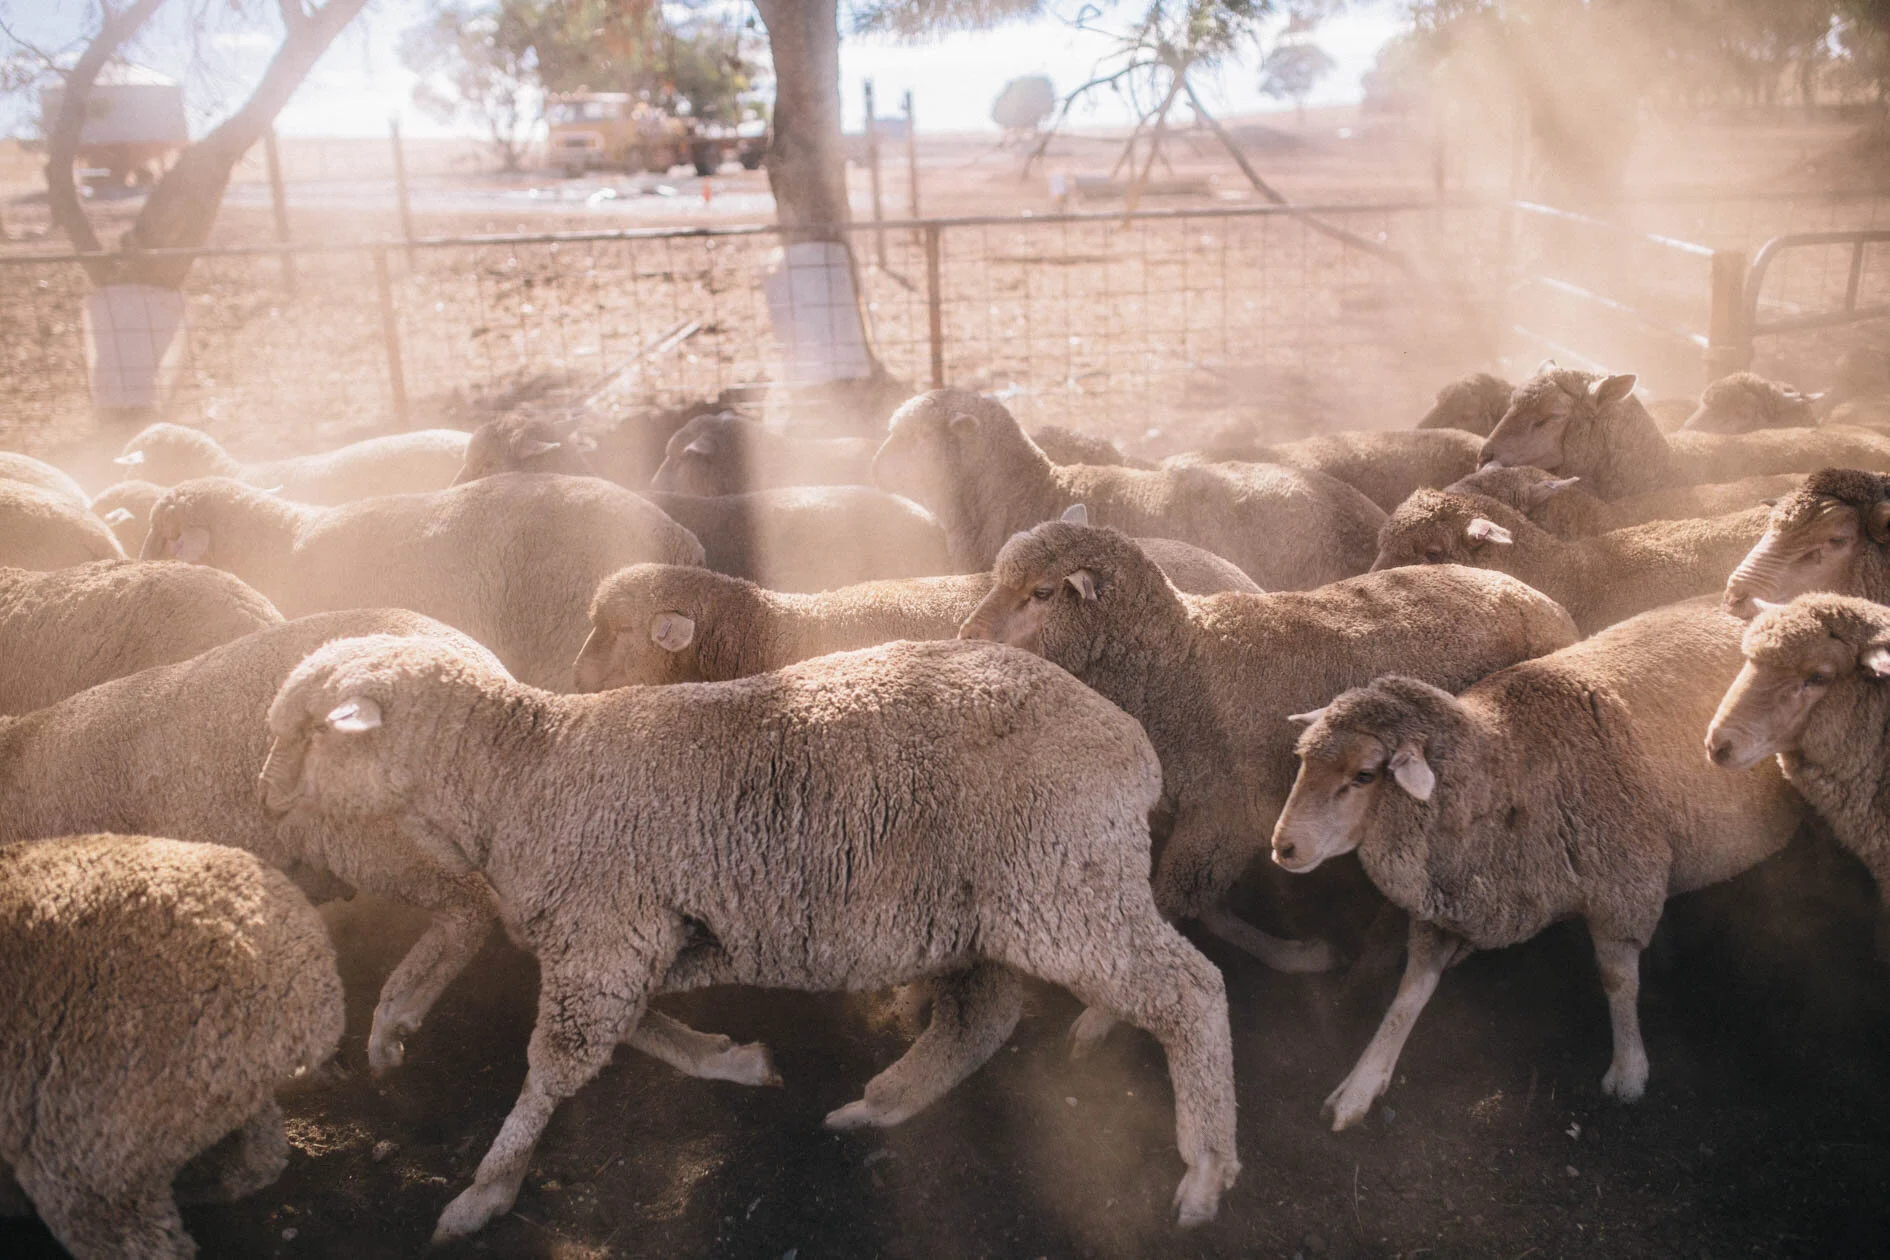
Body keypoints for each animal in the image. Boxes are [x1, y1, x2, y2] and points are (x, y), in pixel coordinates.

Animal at [263, 633, 1242, 1239]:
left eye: (306, 731)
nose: (265, 791)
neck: (519, 778)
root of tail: (1129, 743)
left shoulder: (601, 936)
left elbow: (556, 1065)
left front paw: (484, 1191)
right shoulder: (628, 938)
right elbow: (640, 1031)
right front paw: (732, 1060)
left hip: (1062, 882)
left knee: (1190, 992)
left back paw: (1206, 1168)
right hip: (978, 906)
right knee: (983, 1018)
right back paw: (881, 1103)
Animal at [956, 520, 1577, 995]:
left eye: (1041, 593)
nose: (966, 637)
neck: (1184, 661)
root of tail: (1545, 603)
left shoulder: (1224, 814)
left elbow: (1171, 900)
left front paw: (1092, 1025)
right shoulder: (1209, 818)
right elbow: (1203, 906)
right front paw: (1300, 954)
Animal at [1269, 600, 1806, 1129]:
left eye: (1363, 775)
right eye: (1304, 760)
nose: (1283, 847)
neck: (1504, 765)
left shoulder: (1623, 884)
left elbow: (1618, 981)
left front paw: (1629, 1070)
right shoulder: (1454, 897)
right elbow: (1409, 994)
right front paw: (1360, 1086)